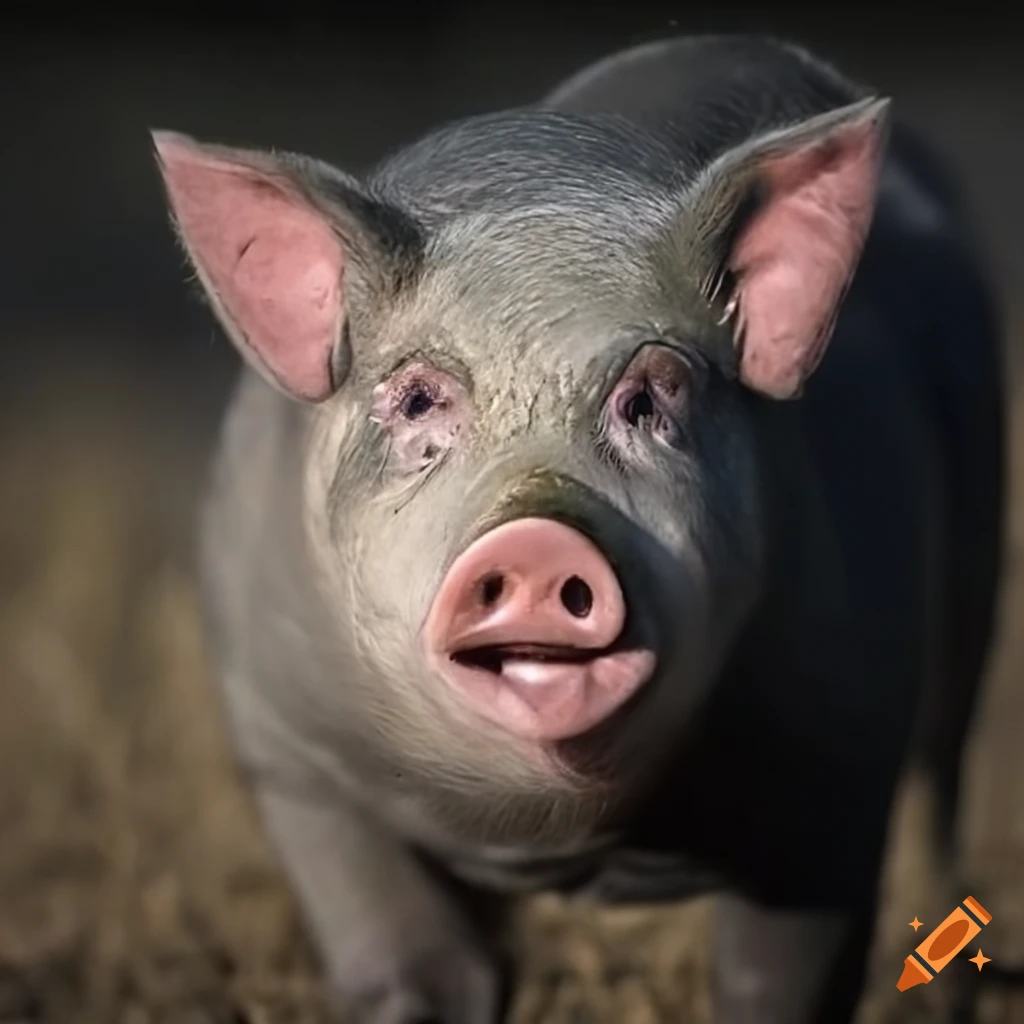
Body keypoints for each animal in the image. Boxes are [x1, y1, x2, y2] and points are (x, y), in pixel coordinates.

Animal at [151, 33, 1006, 1024]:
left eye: (649, 398)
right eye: (418, 400)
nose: (535, 538)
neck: (560, 840)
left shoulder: (840, 759)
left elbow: (772, 977)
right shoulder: (291, 755)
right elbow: (413, 965)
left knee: (943, 782)